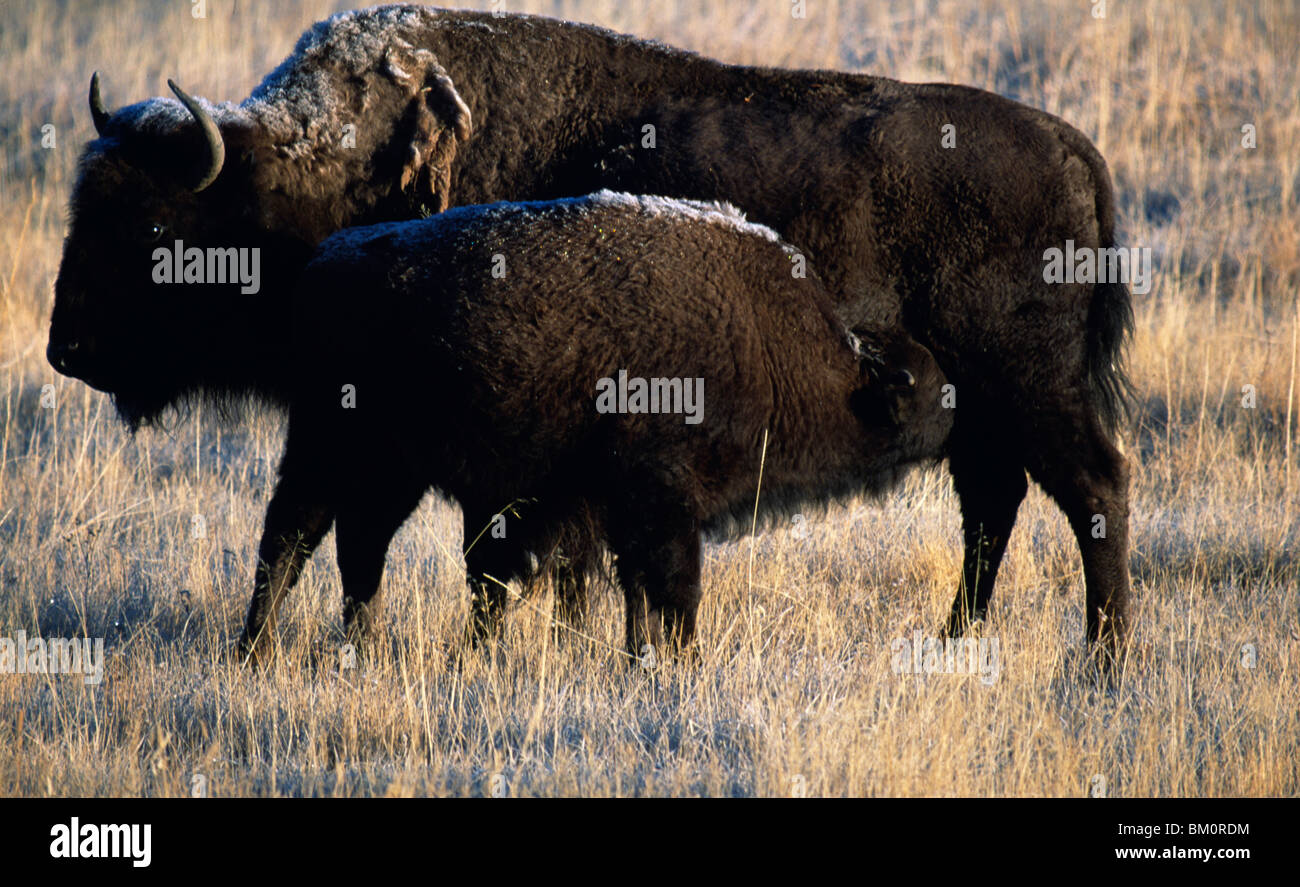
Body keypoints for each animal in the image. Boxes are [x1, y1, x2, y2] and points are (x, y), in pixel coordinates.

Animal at [239, 191, 951, 660]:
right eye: (933, 392)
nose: (957, 431)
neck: (766, 342)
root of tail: (327, 258)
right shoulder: (663, 499)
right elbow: (676, 588)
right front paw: (684, 665)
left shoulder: (616, 507)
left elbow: (631, 587)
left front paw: (637, 660)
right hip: (329, 449)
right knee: (291, 537)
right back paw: (256, 651)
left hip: (391, 471)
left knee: (358, 547)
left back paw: (354, 647)